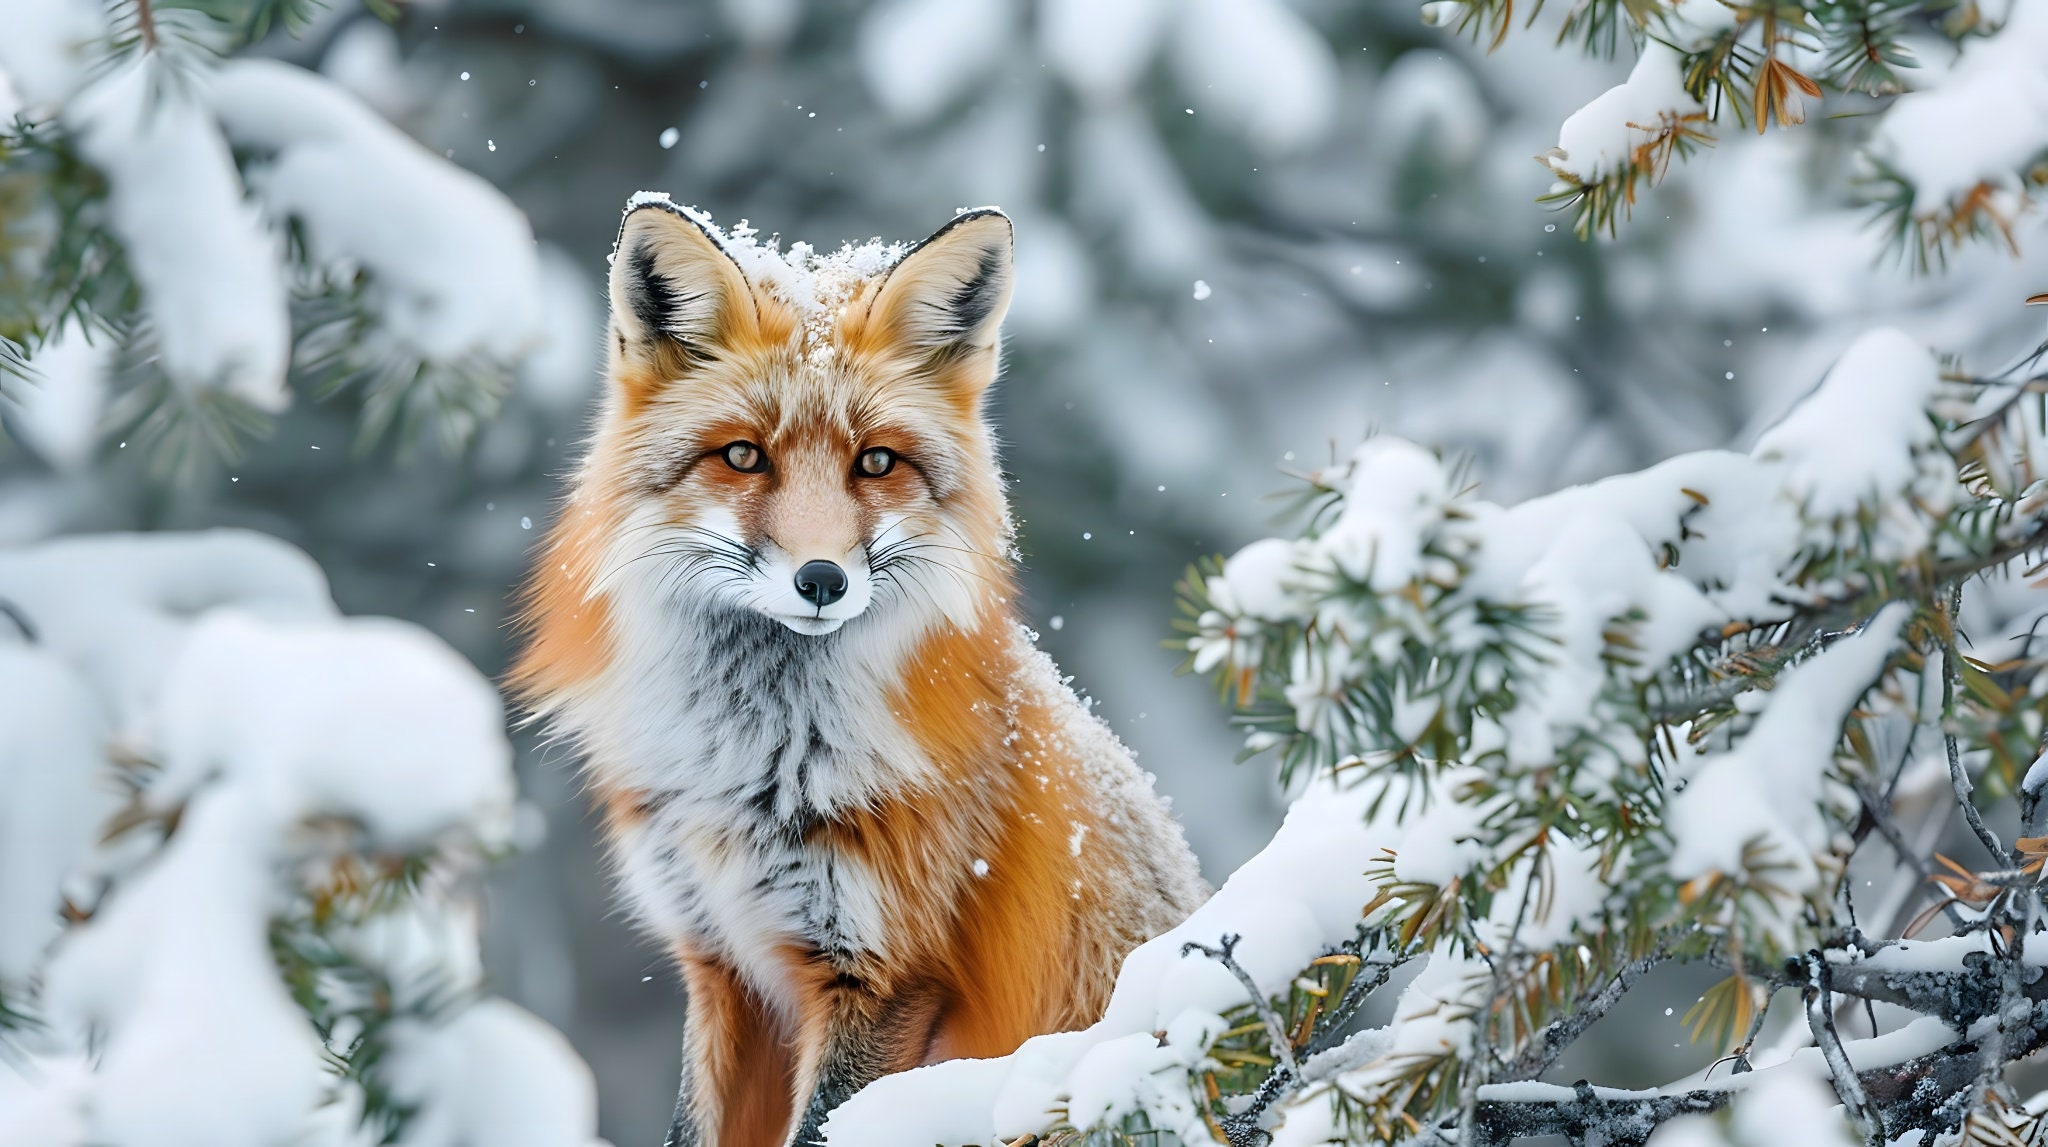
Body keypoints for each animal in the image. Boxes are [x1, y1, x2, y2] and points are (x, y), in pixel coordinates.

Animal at [511, 195, 1209, 1147]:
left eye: (875, 461)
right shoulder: (720, 961)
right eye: (743, 455)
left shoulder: (885, 976)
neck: (756, 769)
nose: (821, 579)